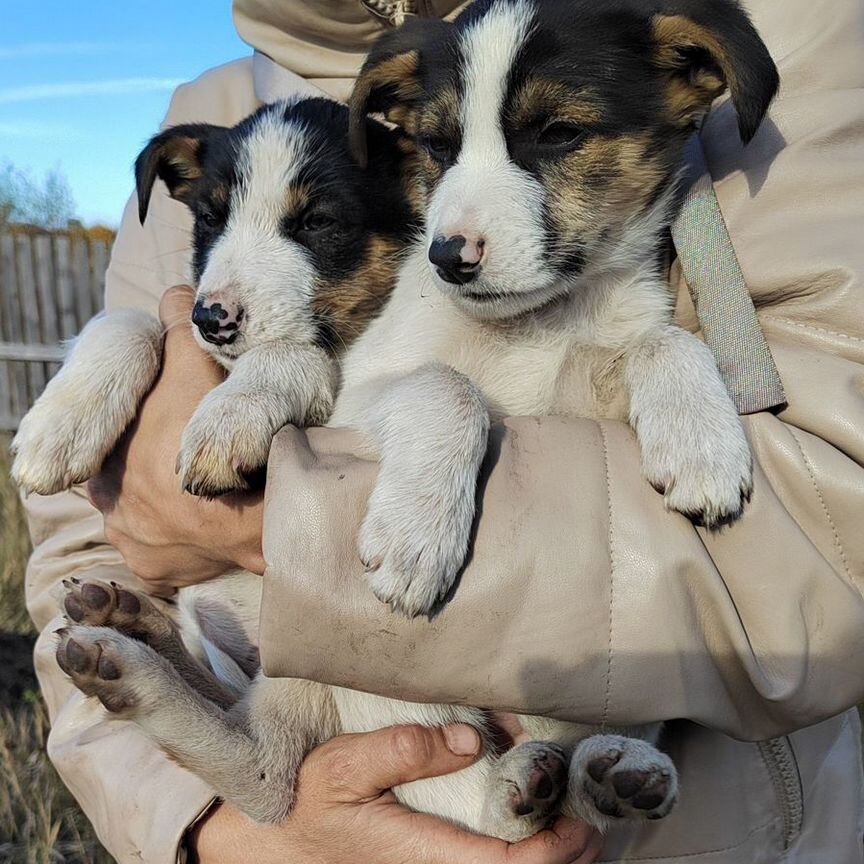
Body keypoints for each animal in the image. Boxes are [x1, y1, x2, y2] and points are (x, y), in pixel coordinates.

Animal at [33, 0, 780, 844]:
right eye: (208, 222)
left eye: (318, 224)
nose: (213, 319)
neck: (523, 330)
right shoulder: (356, 393)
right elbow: (137, 322)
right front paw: (63, 425)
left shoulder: (574, 393)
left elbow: (661, 340)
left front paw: (700, 440)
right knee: (269, 769)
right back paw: (127, 644)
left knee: (333, 778)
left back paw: (594, 777)